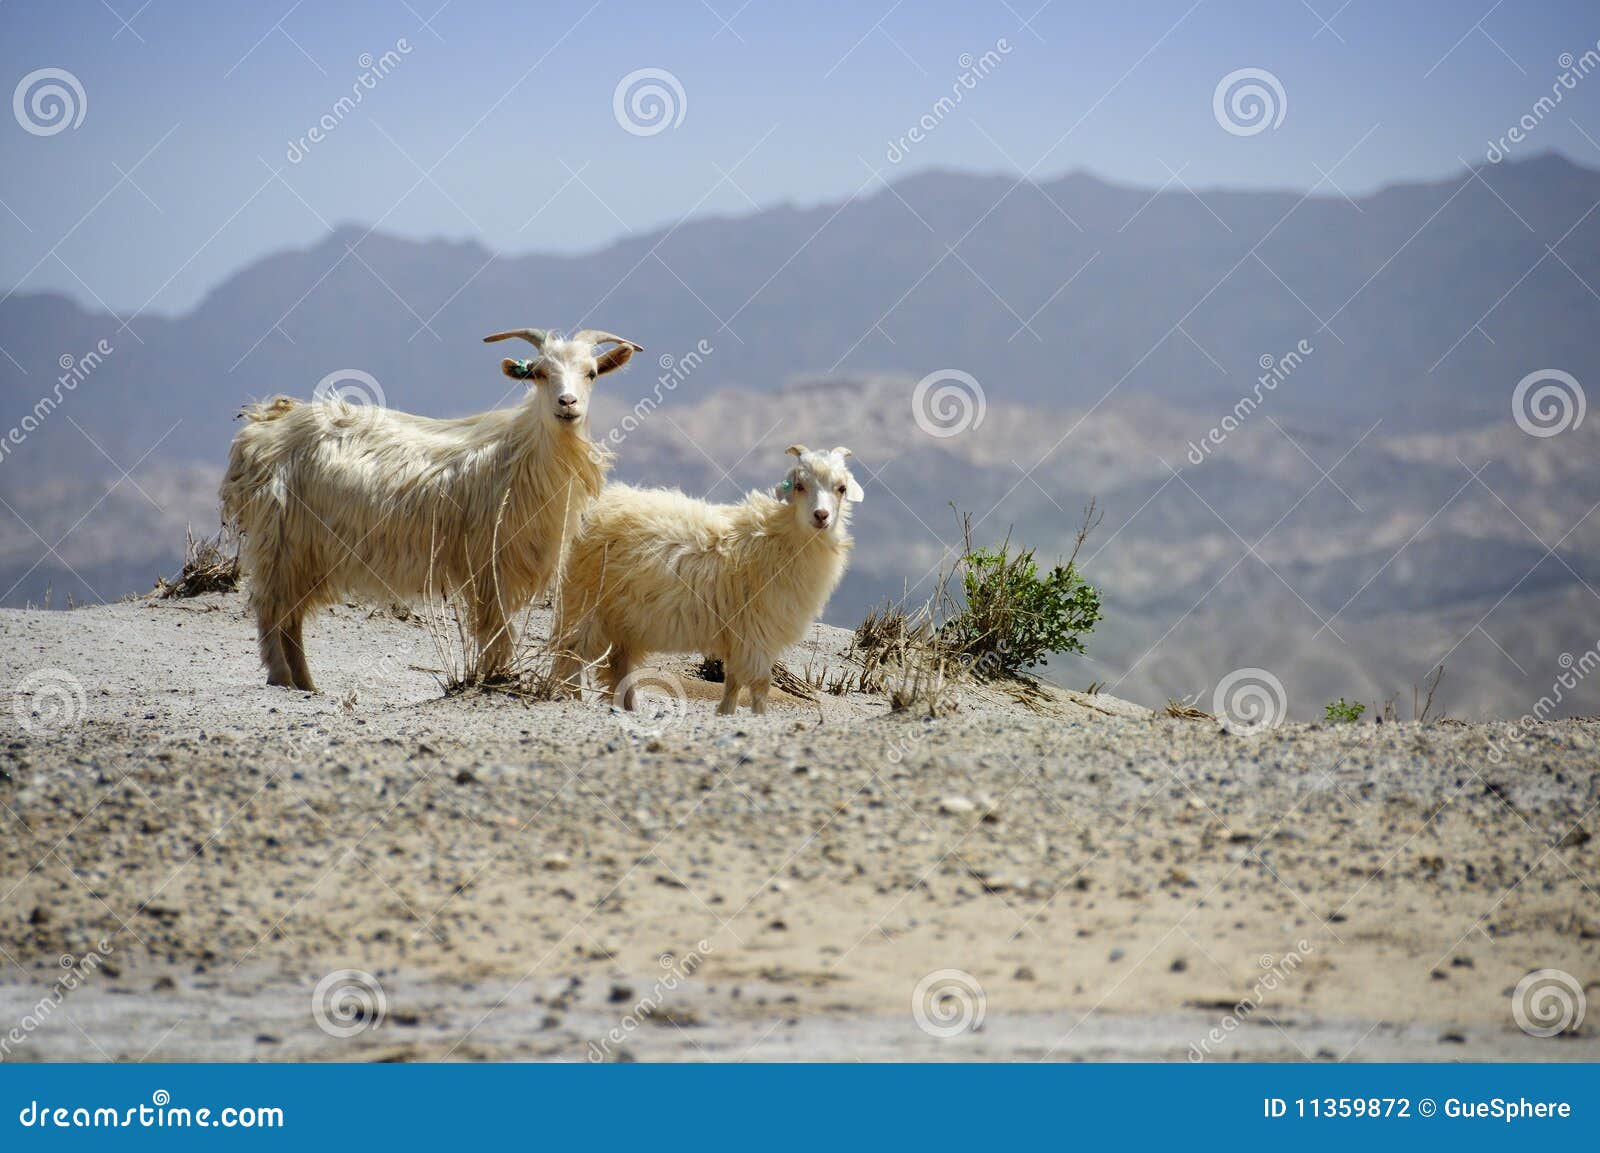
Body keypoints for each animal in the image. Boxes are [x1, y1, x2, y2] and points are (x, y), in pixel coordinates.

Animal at [220, 328, 640, 691]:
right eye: (538, 373)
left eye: (591, 373)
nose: (567, 404)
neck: (520, 456)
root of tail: (264, 425)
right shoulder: (490, 563)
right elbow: (497, 631)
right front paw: (495, 678)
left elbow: (498, 630)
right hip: (280, 539)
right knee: (271, 608)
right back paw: (280, 677)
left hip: (307, 552)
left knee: (291, 616)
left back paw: (306, 683)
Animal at [554, 445, 863, 715]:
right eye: (799, 485)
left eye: (841, 488)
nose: (821, 516)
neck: (777, 538)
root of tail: (594, 507)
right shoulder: (756, 631)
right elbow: (760, 684)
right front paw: (758, 717)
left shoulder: (741, 635)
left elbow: (734, 682)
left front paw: (725, 712)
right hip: (585, 601)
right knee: (571, 653)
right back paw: (573, 698)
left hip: (625, 621)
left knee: (618, 665)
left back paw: (628, 706)